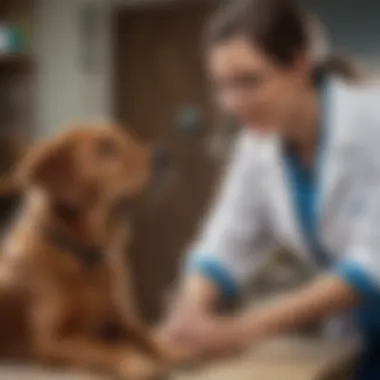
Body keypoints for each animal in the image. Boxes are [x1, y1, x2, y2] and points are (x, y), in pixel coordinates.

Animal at [0, 124, 175, 378]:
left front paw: (174, 352)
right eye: (105, 149)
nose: (164, 156)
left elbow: (147, 336)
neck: (87, 257)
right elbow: (106, 348)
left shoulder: (121, 319)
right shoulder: (51, 340)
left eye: (129, 138)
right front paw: (137, 363)